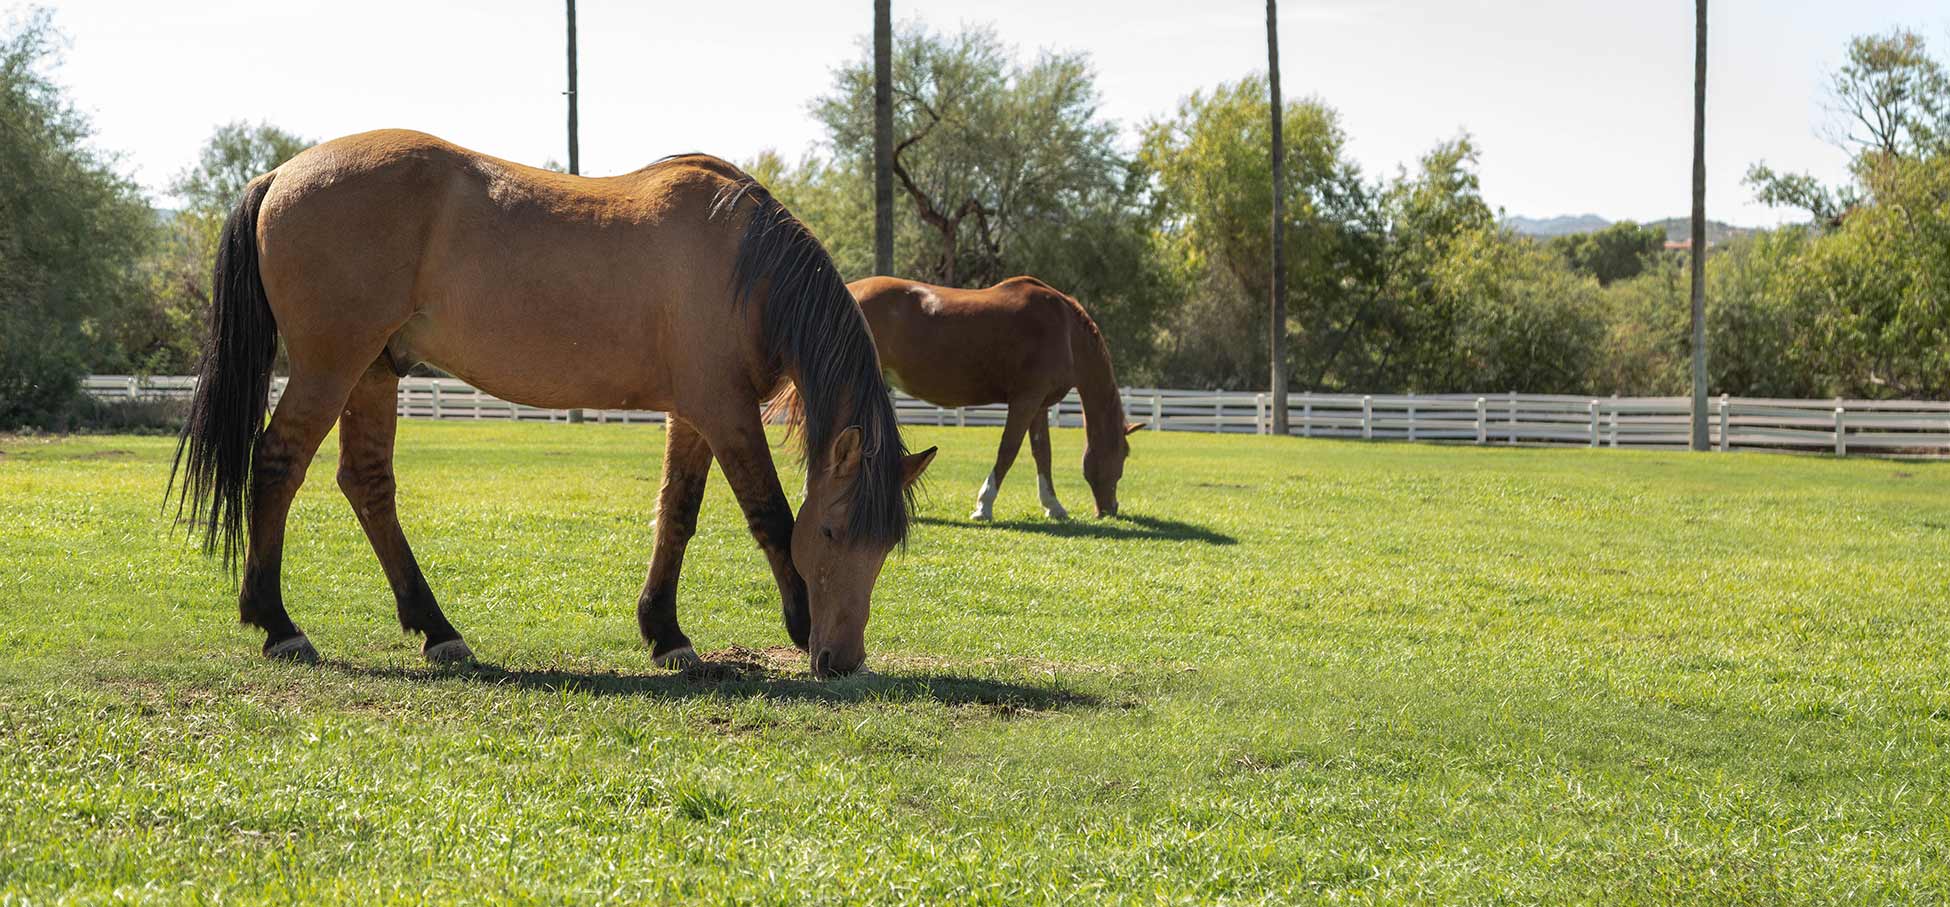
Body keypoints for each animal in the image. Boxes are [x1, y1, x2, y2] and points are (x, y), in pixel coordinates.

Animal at [169, 130, 935, 678]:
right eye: (832, 532)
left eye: (884, 544)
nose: (844, 660)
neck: (747, 262)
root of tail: (279, 176)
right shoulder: (726, 412)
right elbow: (770, 516)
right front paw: (797, 622)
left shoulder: (693, 413)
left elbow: (676, 516)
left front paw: (666, 634)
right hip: (332, 365)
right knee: (278, 463)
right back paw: (279, 624)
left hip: (374, 371)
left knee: (367, 484)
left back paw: (438, 631)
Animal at [848, 276, 1141, 520]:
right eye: (1124, 454)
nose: (1110, 509)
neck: (1066, 330)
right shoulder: (1025, 400)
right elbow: (1008, 450)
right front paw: (983, 506)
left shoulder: (1039, 405)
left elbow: (1042, 454)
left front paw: (1053, 506)